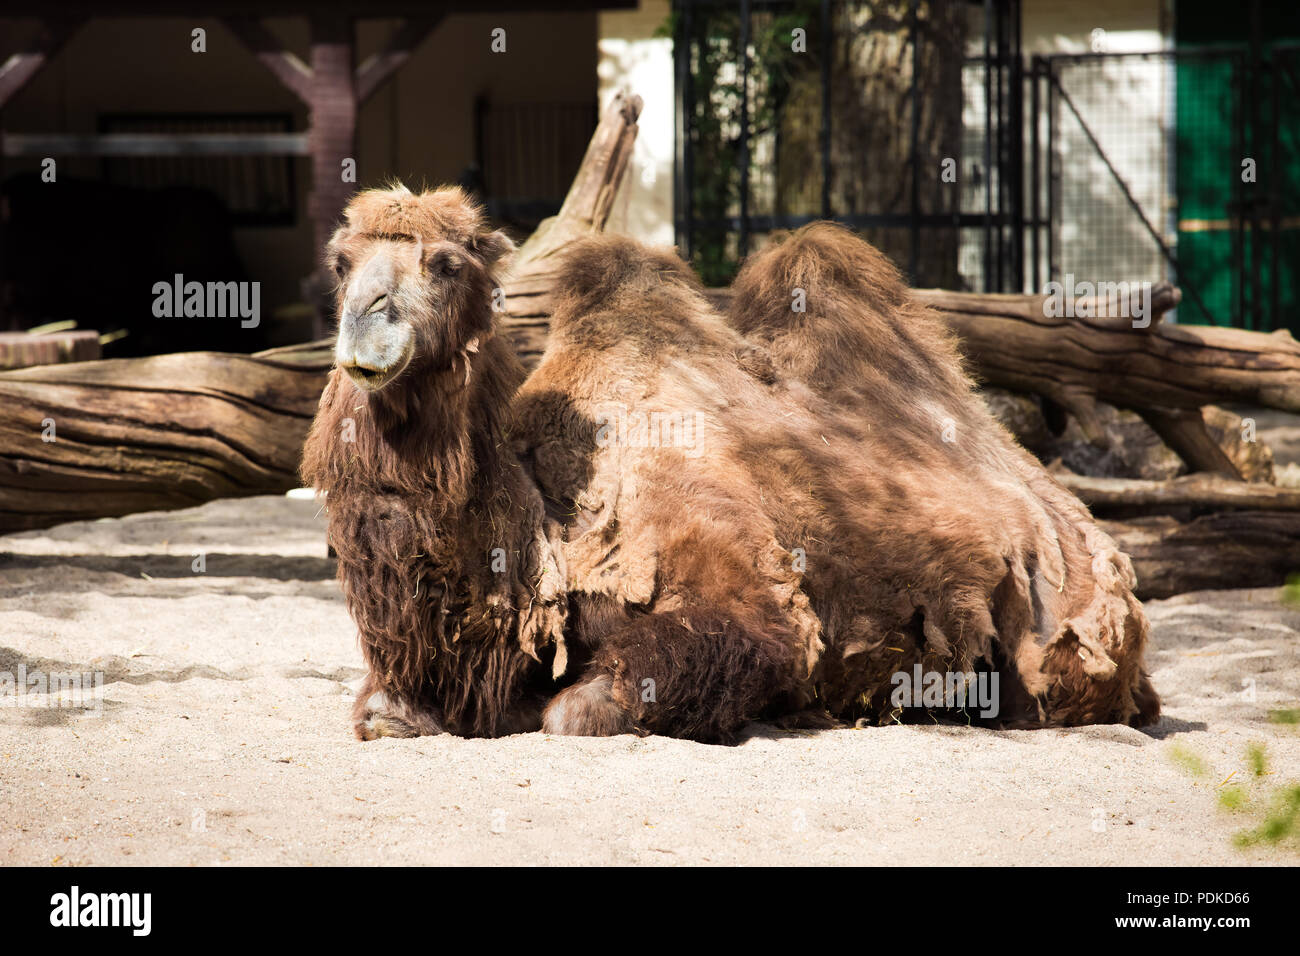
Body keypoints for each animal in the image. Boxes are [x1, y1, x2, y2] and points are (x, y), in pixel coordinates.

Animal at [301, 184, 1159, 743]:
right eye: (341, 262)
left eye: (447, 263)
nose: (367, 324)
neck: (548, 535)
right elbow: (382, 715)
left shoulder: (746, 591)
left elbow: (584, 708)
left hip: (1069, 621)